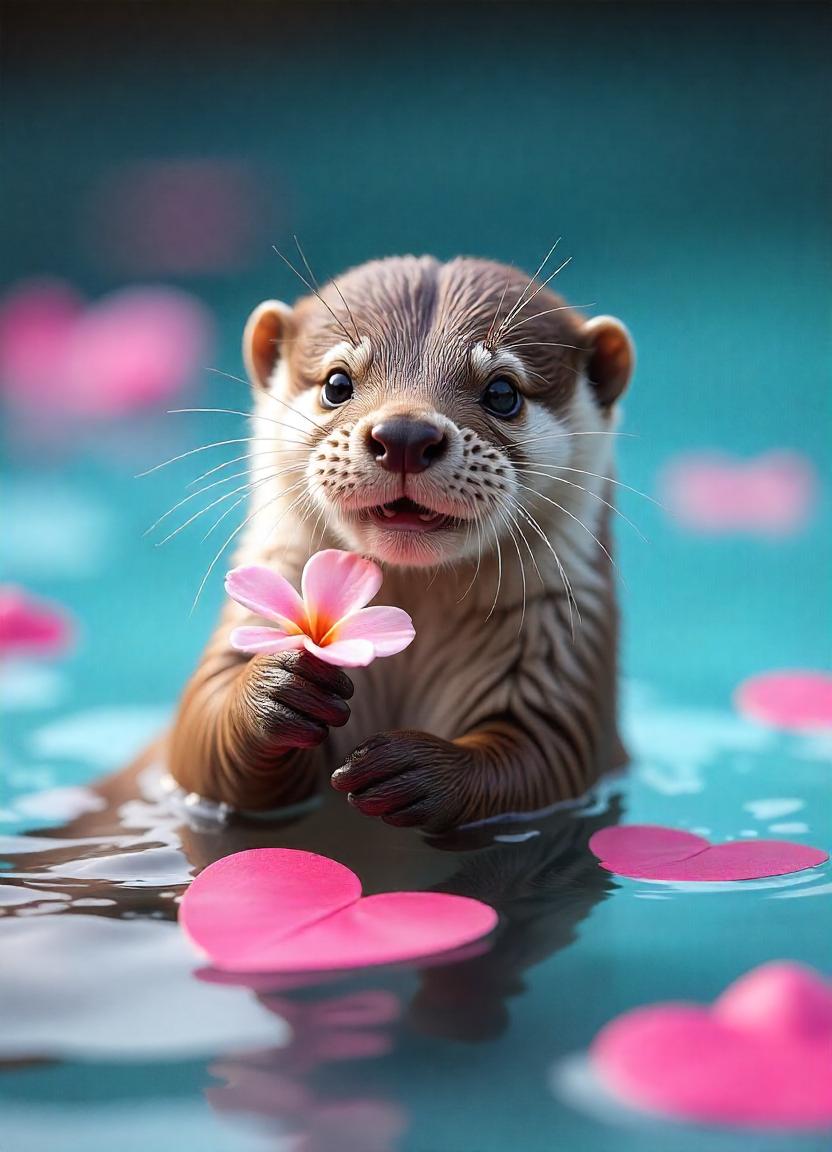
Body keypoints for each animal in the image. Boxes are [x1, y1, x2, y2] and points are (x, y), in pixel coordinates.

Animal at [168, 254, 635, 833]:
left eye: (503, 392)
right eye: (337, 383)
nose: (406, 435)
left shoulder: (555, 653)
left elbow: (543, 754)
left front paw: (415, 769)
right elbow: (200, 739)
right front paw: (276, 690)